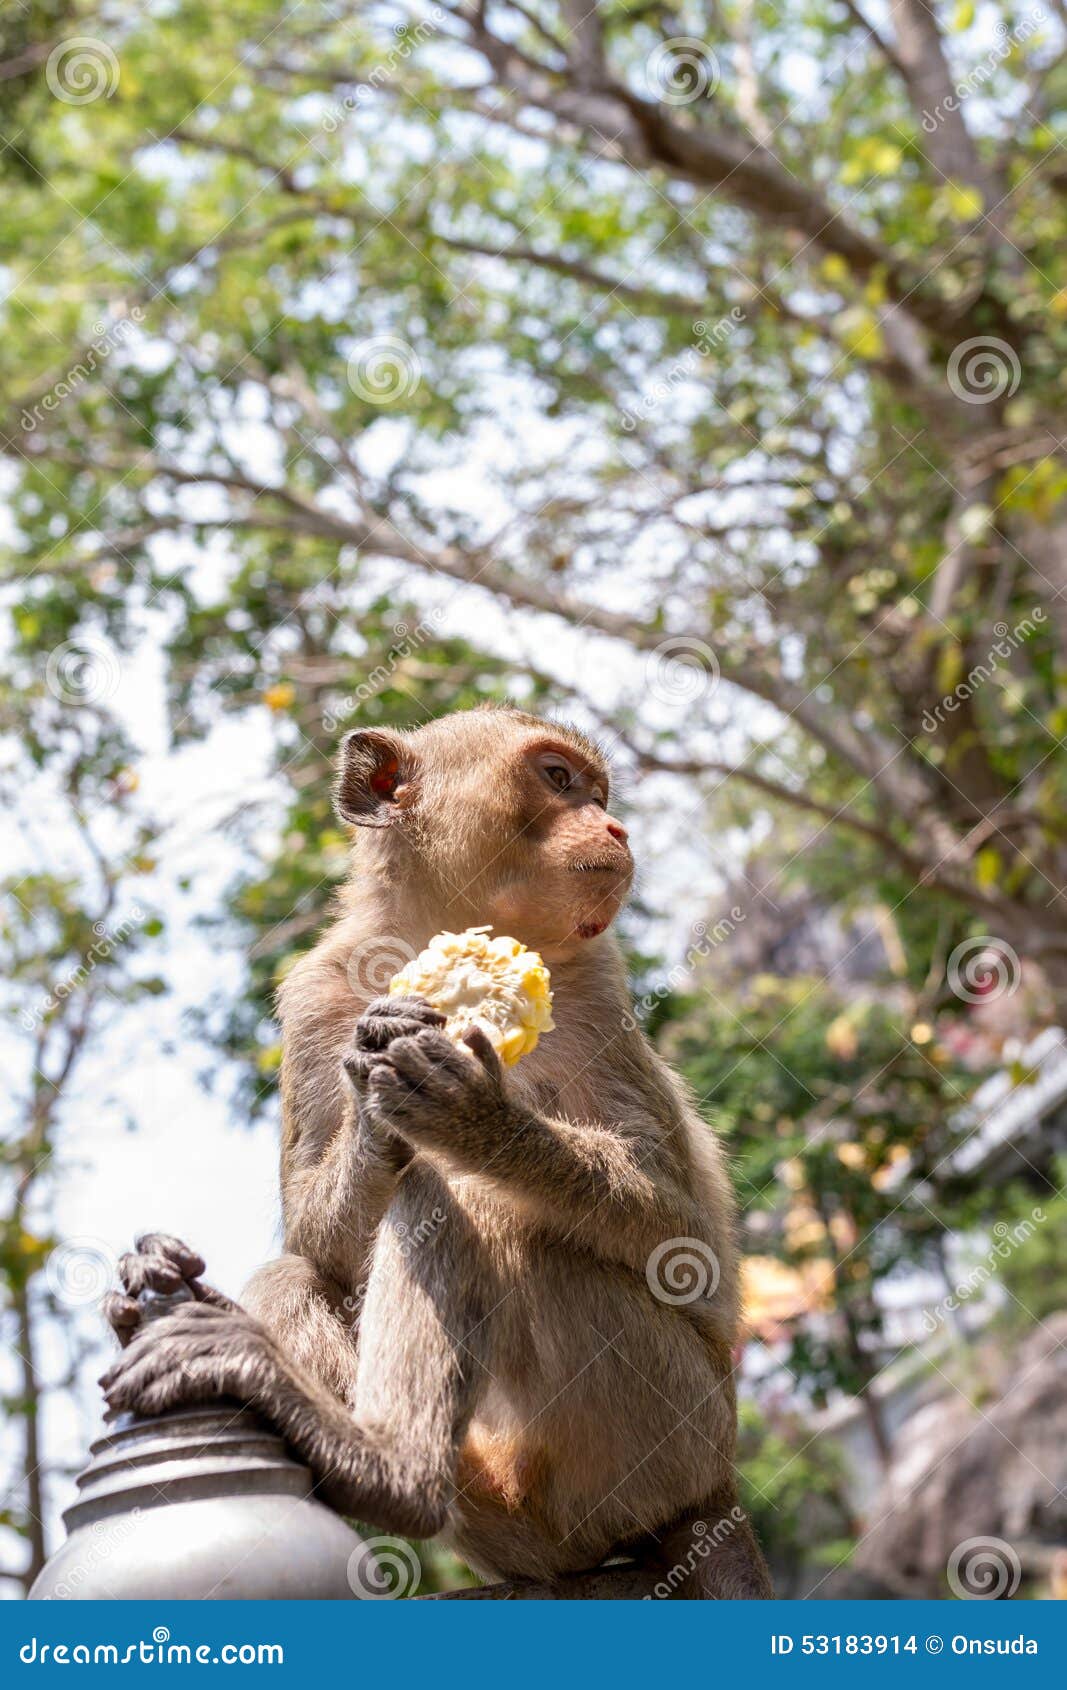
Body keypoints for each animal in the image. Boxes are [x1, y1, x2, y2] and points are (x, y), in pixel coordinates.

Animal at [102, 706, 773, 1599]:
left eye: (597, 794)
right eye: (559, 780)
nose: (615, 828)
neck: (434, 933)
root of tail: (713, 1489)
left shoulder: (599, 989)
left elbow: (682, 1235)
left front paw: (474, 1116)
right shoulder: (315, 996)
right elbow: (317, 1241)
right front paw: (374, 1101)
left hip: (671, 1436)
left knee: (497, 1217)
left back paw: (386, 1470)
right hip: (505, 1510)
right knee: (301, 1270)